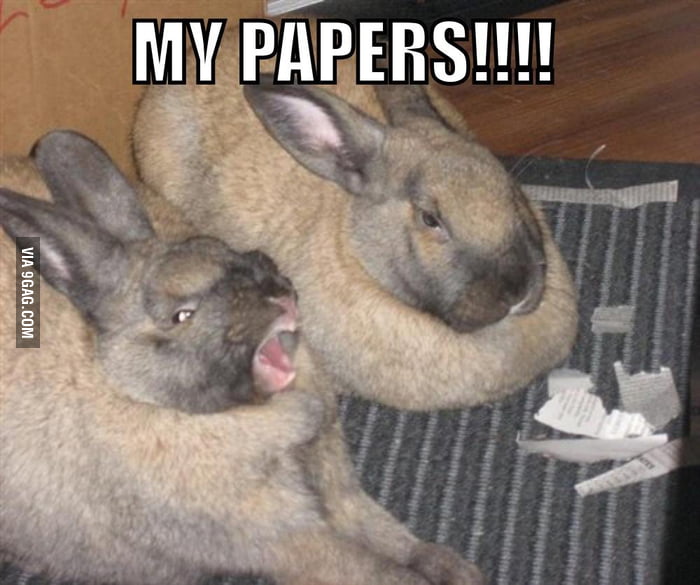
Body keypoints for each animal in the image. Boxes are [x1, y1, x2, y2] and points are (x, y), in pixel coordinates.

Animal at [0, 130, 485, 585]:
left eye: (229, 251)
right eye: (181, 316)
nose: (277, 293)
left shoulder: (340, 498)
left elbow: (392, 538)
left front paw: (455, 570)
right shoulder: (291, 543)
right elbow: (378, 570)